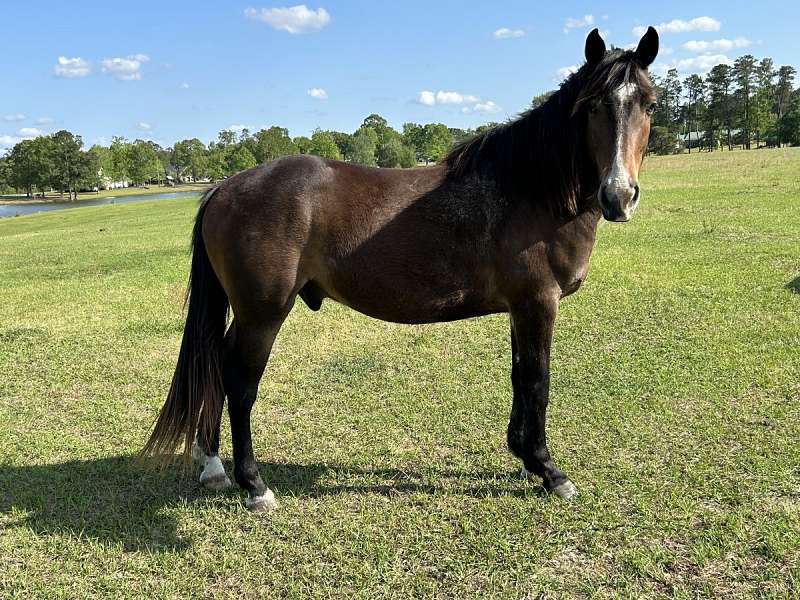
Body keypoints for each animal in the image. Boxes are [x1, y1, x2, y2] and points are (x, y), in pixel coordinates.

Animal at [143, 27, 659, 511]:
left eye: (649, 104)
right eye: (592, 107)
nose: (619, 196)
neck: (529, 189)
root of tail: (225, 186)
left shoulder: (520, 309)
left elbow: (519, 378)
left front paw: (524, 458)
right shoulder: (538, 302)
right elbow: (538, 381)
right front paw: (549, 470)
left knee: (216, 367)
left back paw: (213, 464)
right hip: (262, 315)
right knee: (239, 381)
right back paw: (254, 484)